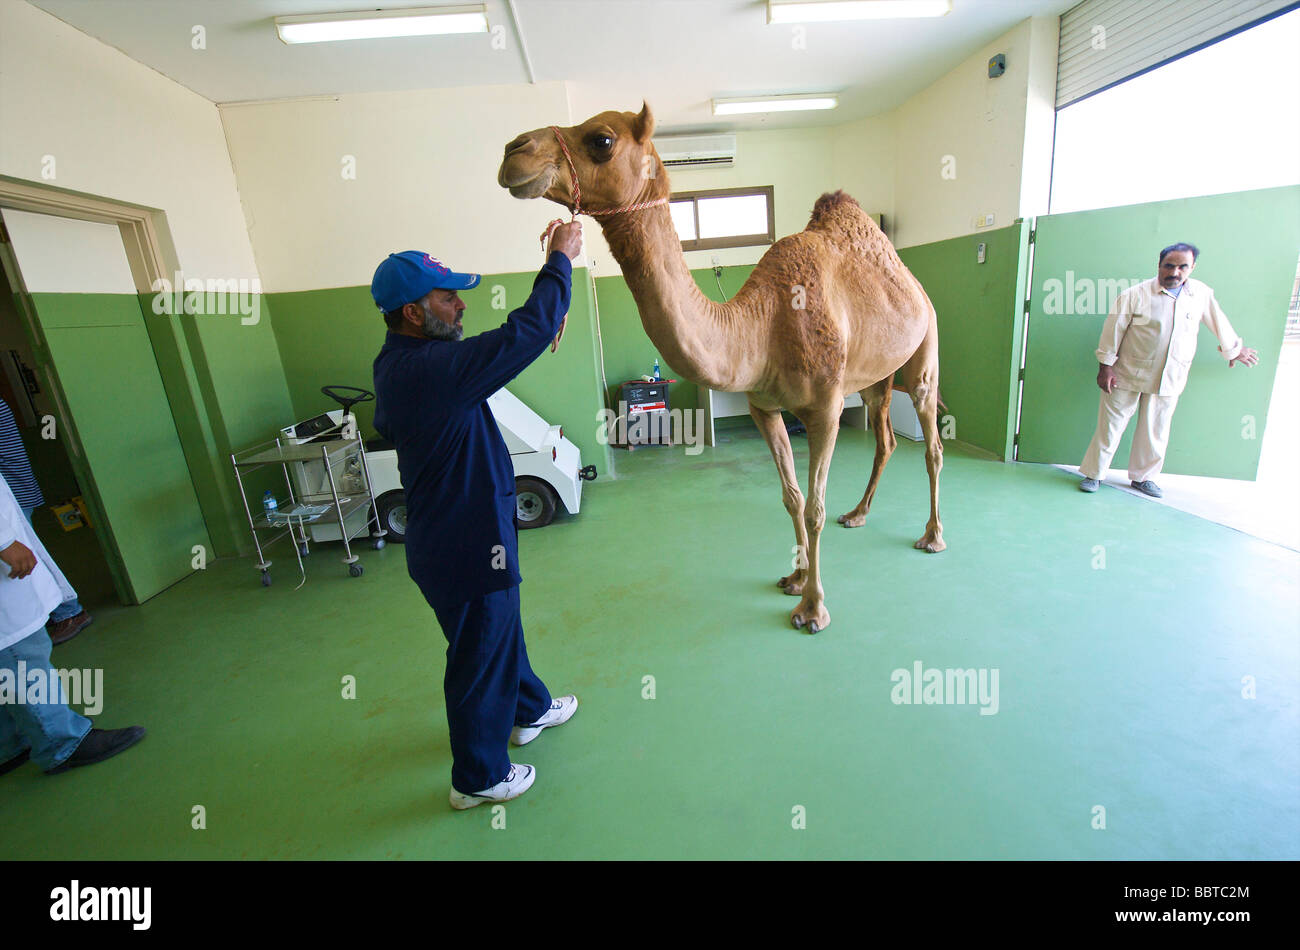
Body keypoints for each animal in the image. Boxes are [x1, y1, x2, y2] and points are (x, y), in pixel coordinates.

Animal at [497, 104, 945, 633]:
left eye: (602, 140)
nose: (513, 151)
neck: (763, 326)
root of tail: (910, 278)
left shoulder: (825, 409)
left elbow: (815, 507)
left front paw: (813, 608)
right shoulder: (764, 407)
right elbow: (792, 496)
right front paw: (794, 579)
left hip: (925, 349)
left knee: (931, 443)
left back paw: (932, 536)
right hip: (877, 378)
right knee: (886, 438)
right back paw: (857, 514)